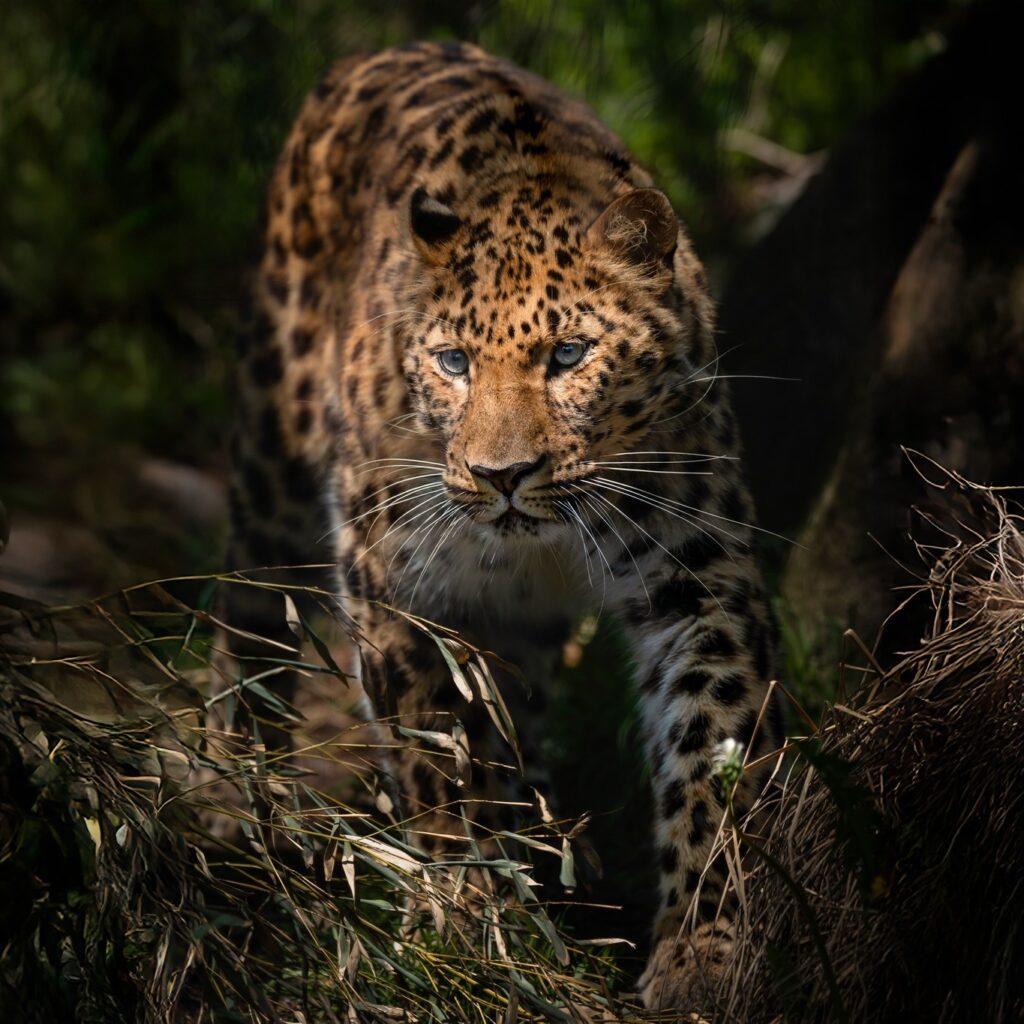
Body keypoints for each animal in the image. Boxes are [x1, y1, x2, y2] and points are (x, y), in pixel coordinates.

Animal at [223, 39, 783, 1014]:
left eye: (569, 355)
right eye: (452, 362)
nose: (500, 476)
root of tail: (383, 49)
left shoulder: (699, 577)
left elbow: (710, 751)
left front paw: (704, 948)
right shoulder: (400, 586)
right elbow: (437, 758)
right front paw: (467, 925)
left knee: (517, 714)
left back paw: (551, 858)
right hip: (271, 453)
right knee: (248, 616)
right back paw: (240, 796)